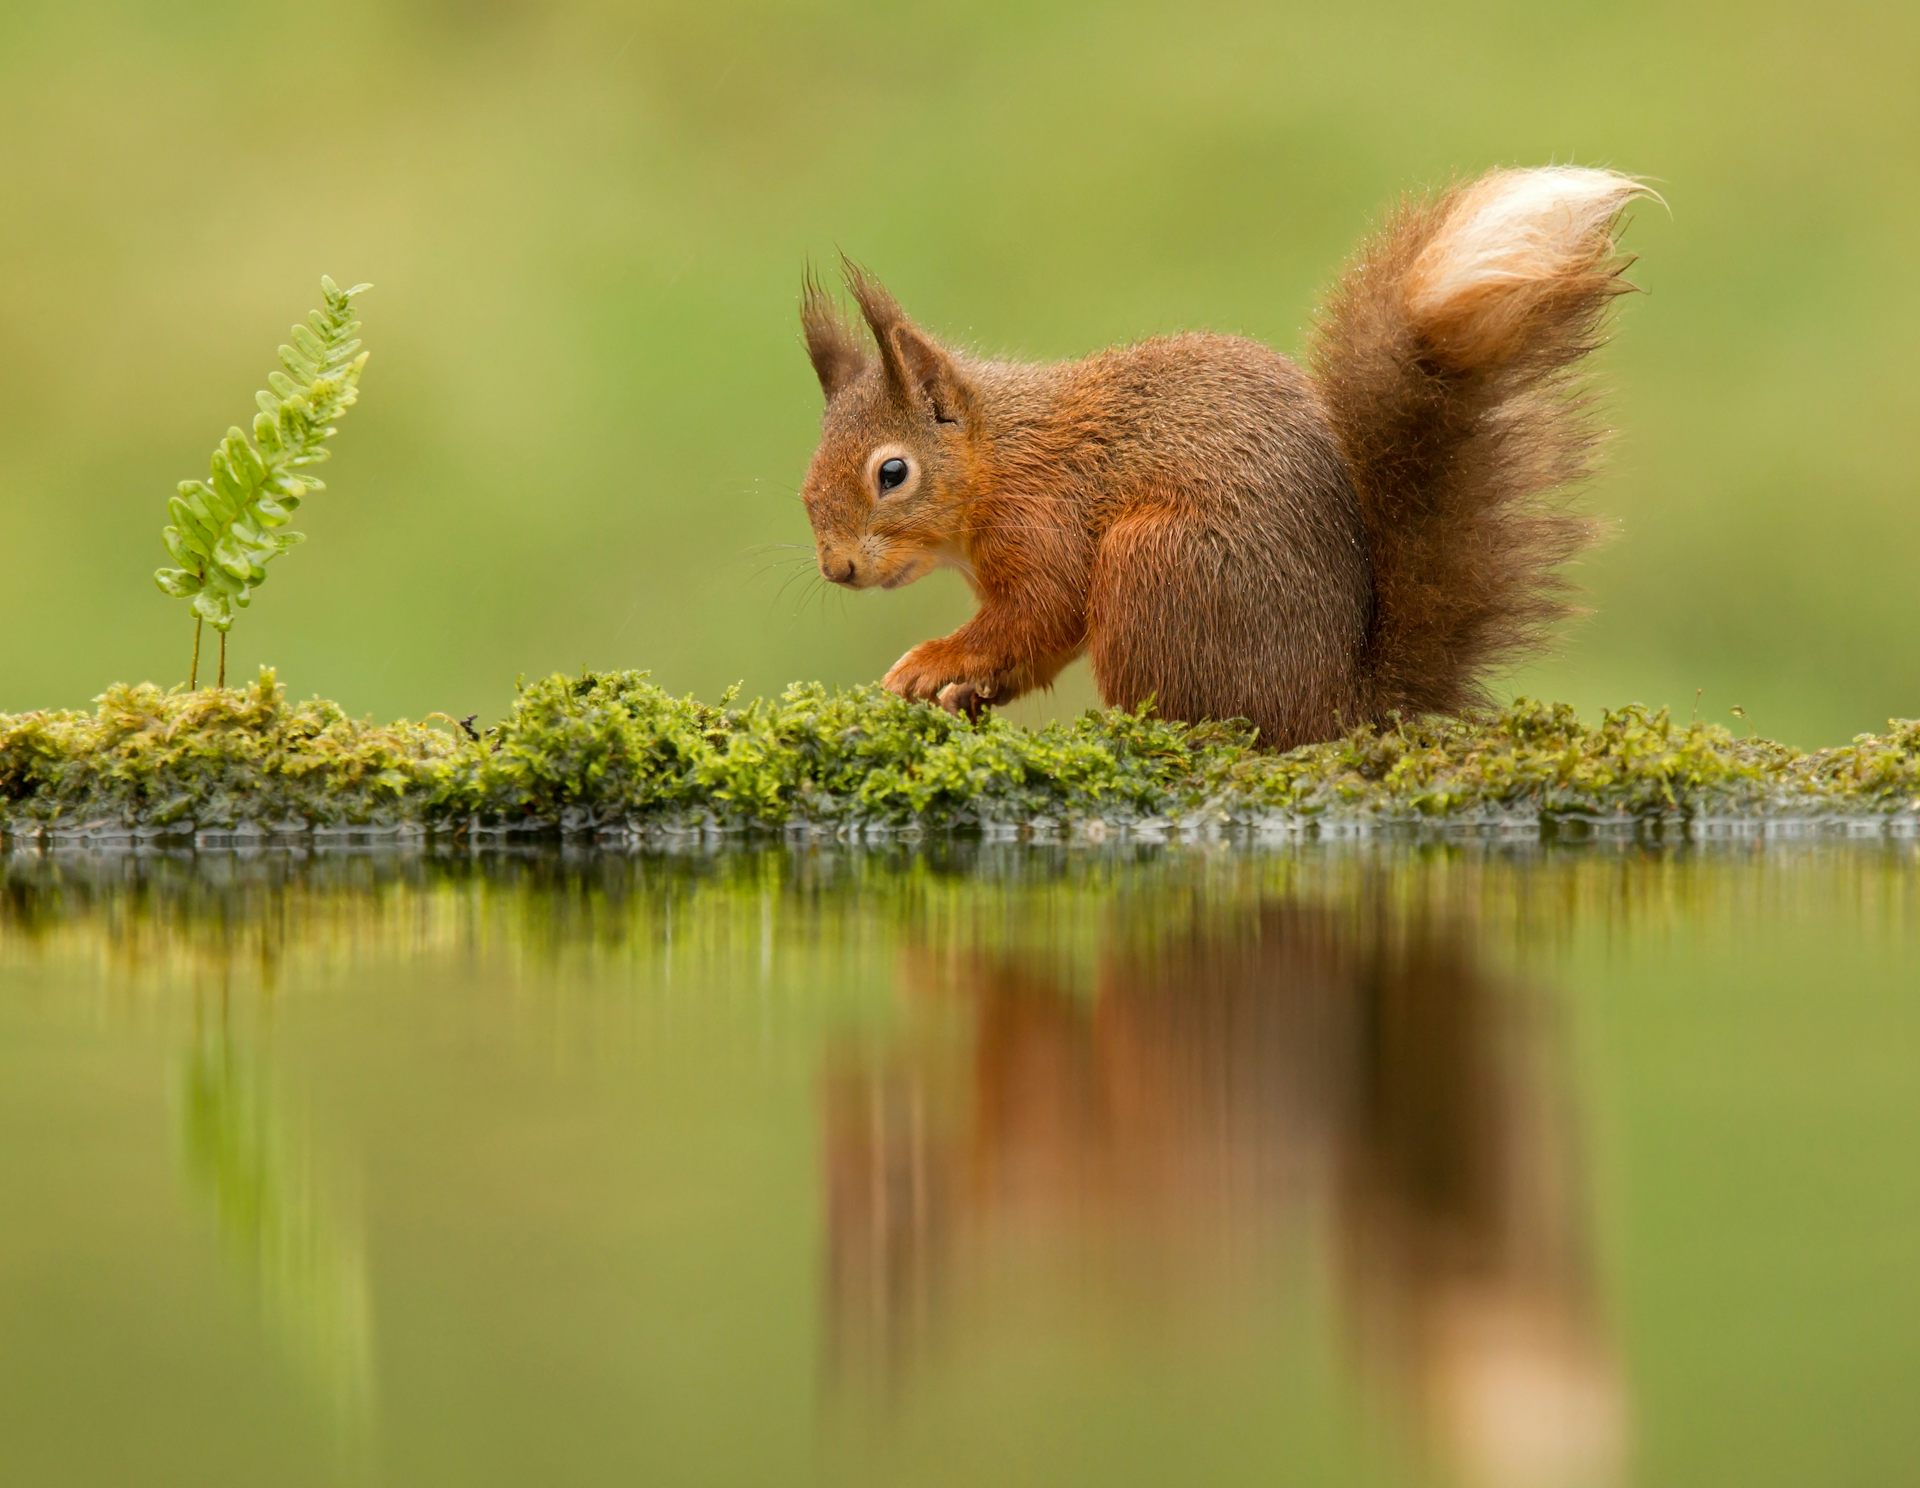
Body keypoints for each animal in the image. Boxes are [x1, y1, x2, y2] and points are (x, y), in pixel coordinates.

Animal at [796, 166, 1651, 749]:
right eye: (806, 488)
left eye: (892, 473)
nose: (838, 569)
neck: (1000, 455)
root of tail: (1334, 705)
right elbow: (1037, 645)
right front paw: (963, 692)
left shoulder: (1045, 523)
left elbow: (1040, 612)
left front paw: (931, 663)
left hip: (1155, 565)